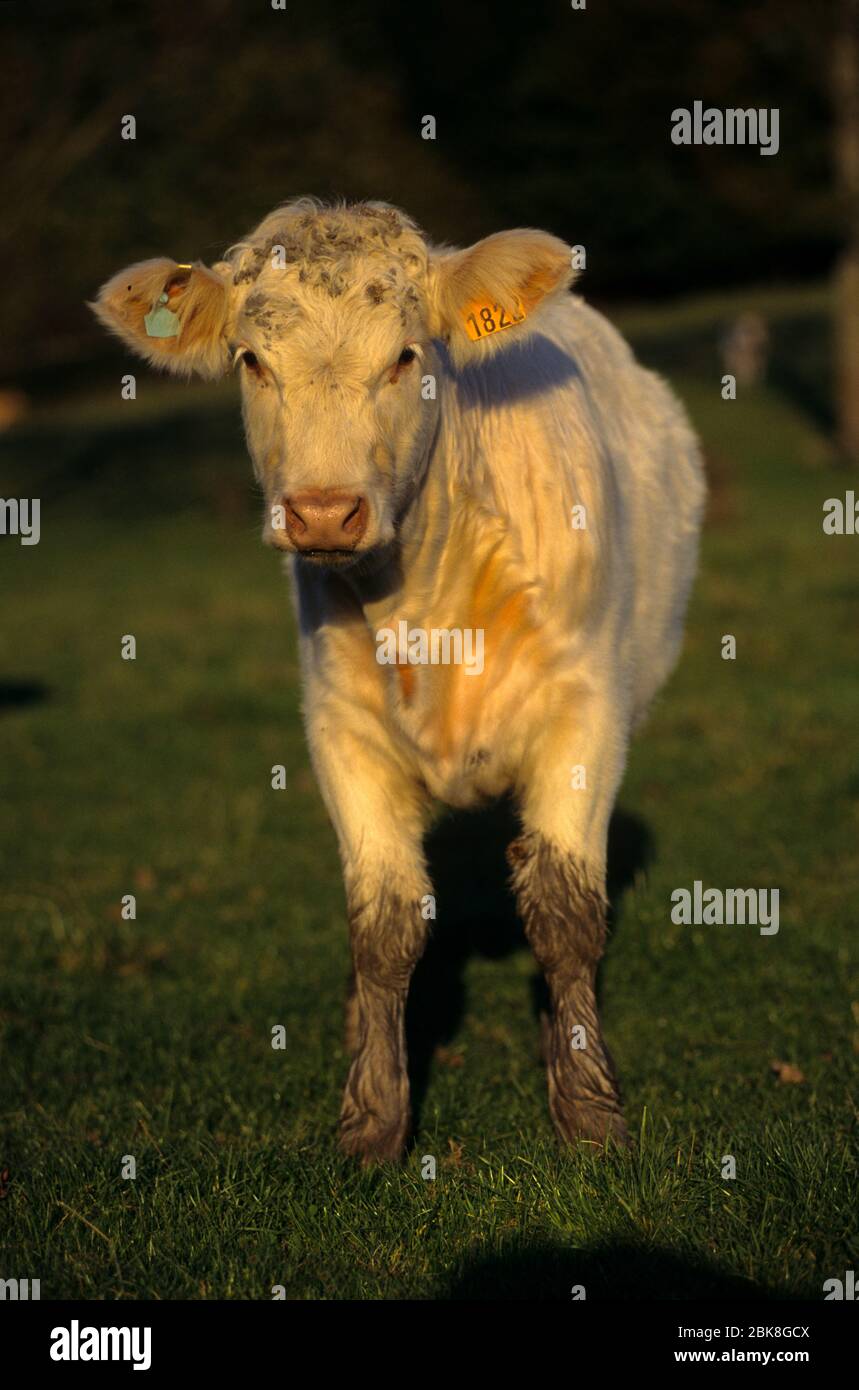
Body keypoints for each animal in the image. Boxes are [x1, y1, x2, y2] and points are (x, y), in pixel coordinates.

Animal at [93, 198, 705, 1163]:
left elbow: (564, 913)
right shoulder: (339, 730)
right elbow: (383, 927)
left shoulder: (587, 715)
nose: (321, 512)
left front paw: (587, 1106)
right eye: (251, 360)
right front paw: (372, 1117)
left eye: (407, 355)